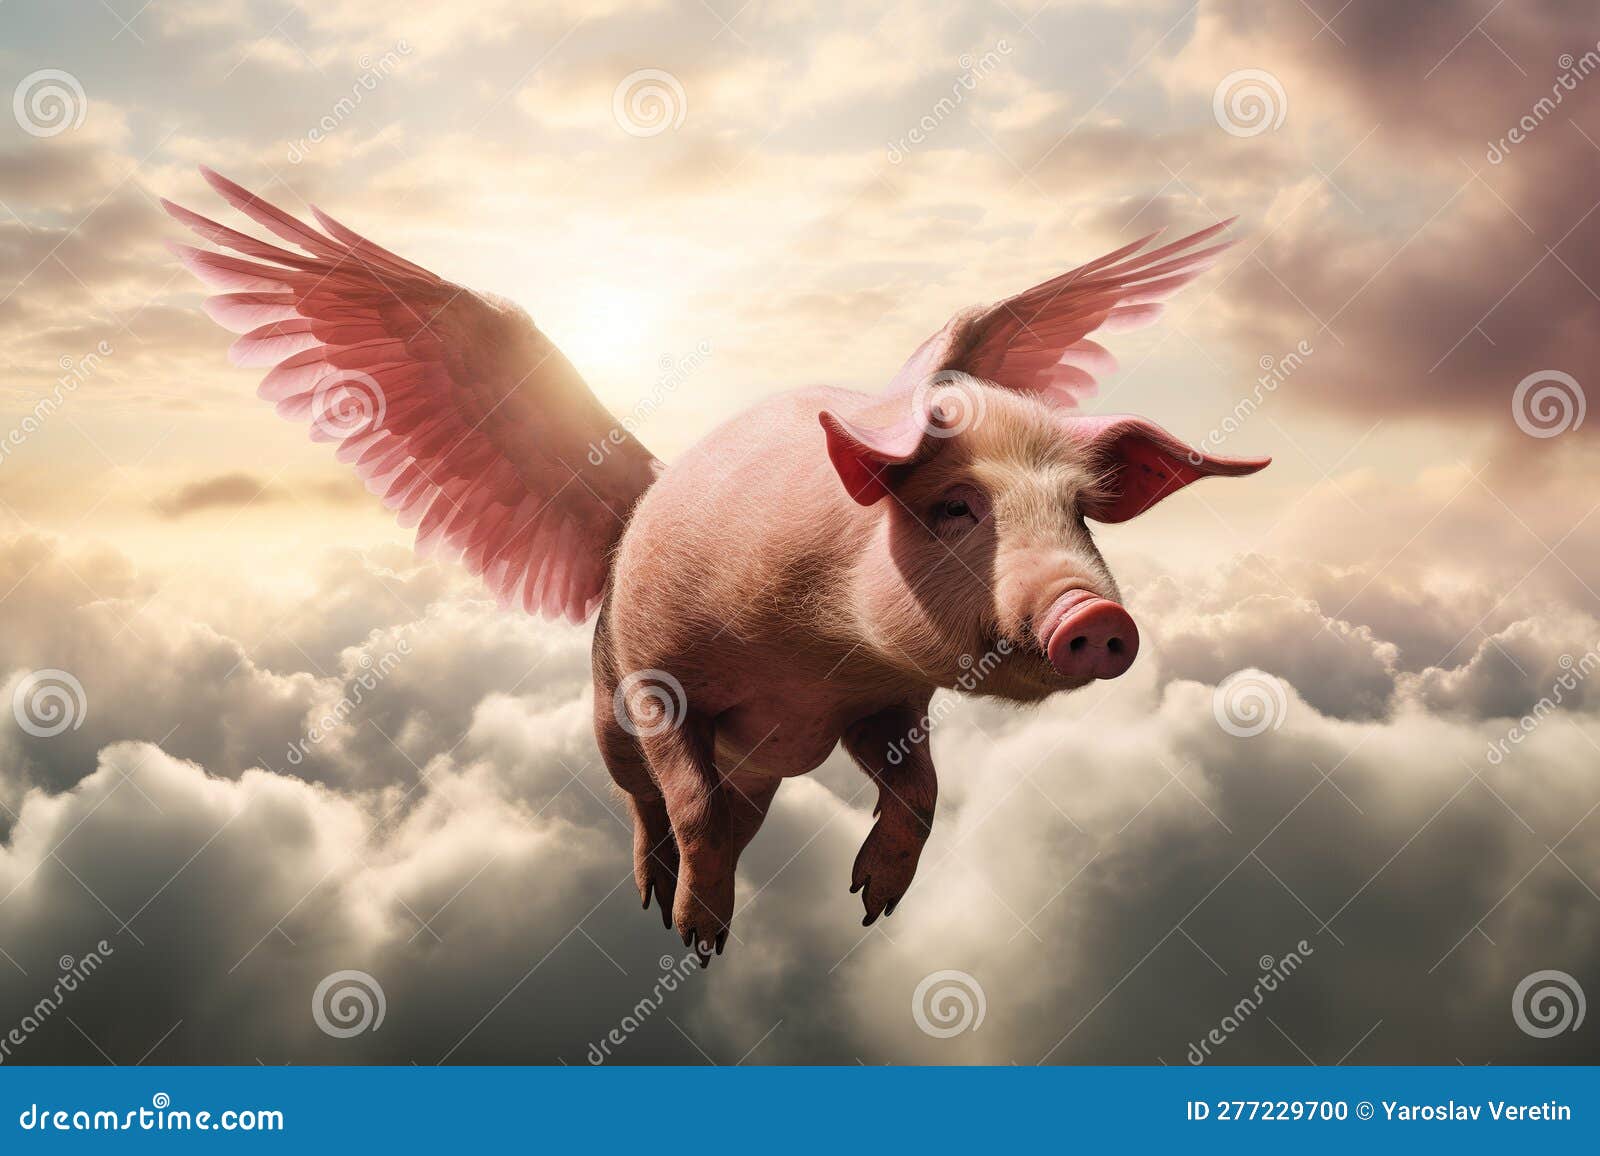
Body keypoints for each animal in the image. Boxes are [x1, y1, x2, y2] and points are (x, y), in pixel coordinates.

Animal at [168, 169, 1269, 964]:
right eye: (954, 505)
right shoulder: (662, 679)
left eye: (1081, 510)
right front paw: (700, 944)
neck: (813, 651)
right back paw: (658, 901)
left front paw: (870, 906)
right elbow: (689, 801)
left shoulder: (882, 700)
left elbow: (922, 791)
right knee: (644, 799)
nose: (1095, 617)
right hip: (603, 710)